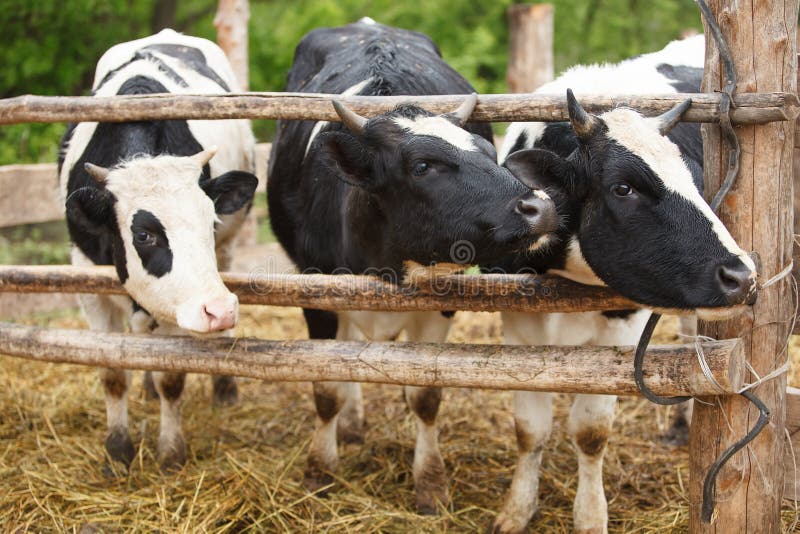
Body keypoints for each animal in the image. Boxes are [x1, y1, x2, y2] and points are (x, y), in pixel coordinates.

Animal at [59, 29, 258, 472]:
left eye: (209, 221)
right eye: (144, 235)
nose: (220, 310)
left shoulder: (183, 302)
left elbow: (172, 376)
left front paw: (170, 452)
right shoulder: (86, 280)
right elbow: (113, 372)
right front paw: (117, 448)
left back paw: (224, 387)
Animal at [267, 18, 559, 514]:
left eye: (488, 151)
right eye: (423, 165)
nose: (539, 206)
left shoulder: (441, 299)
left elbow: (425, 395)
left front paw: (431, 483)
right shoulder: (314, 292)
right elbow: (326, 387)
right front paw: (319, 468)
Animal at [490, 35, 757, 533]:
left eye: (697, 182)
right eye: (623, 188)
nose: (742, 276)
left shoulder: (622, 322)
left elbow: (591, 432)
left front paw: (590, 516)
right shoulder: (517, 317)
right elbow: (529, 429)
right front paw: (516, 509)